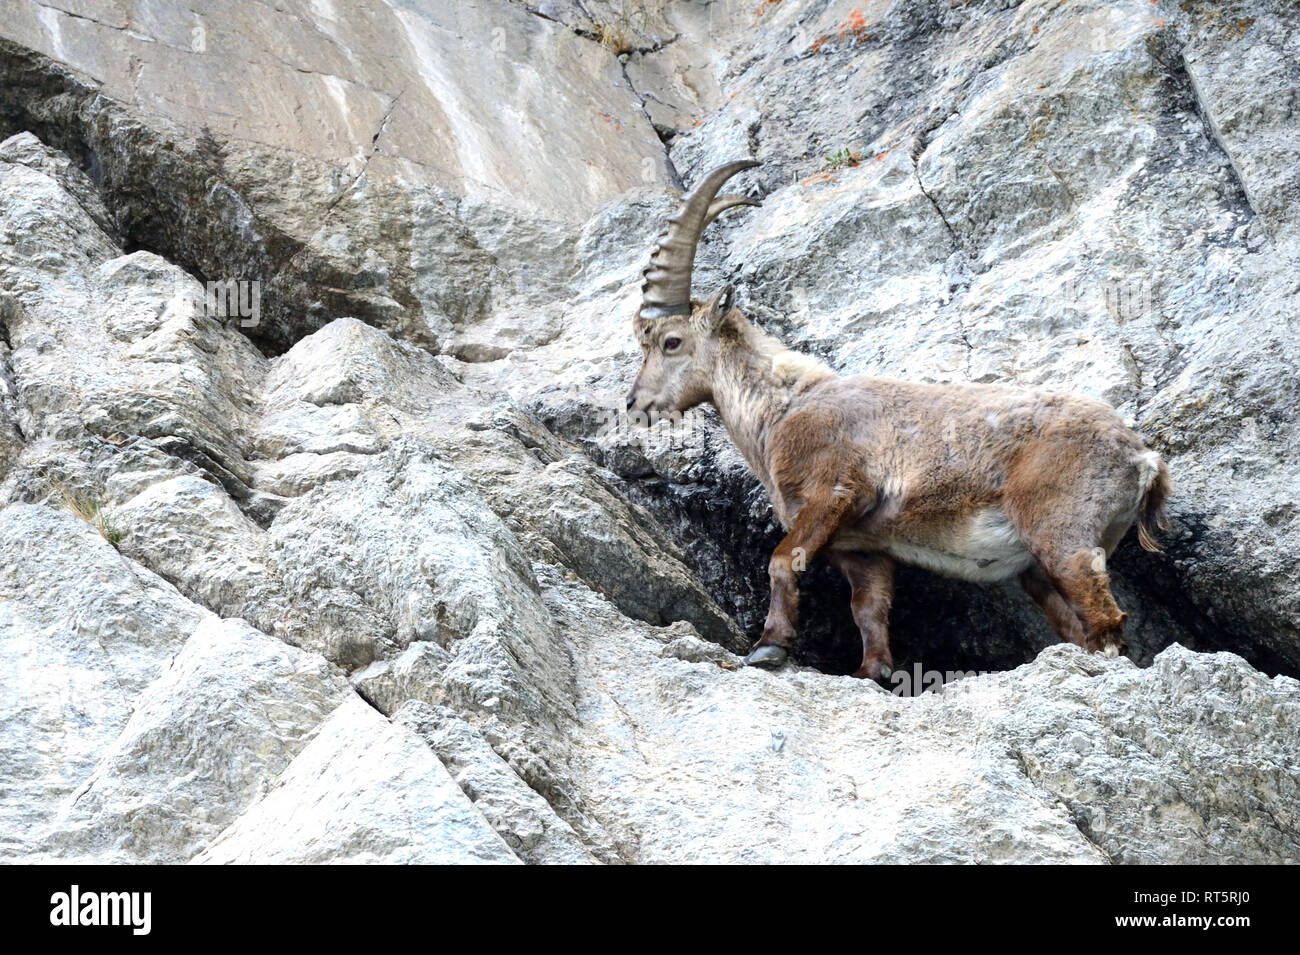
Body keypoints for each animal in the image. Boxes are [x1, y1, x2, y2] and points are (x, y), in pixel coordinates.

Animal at [626, 160, 1171, 682]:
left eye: (670, 341)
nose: (634, 404)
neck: (781, 408)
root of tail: (1143, 458)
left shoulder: (834, 492)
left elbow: (782, 560)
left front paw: (769, 647)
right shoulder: (861, 547)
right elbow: (869, 606)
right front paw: (873, 672)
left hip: (1061, 533)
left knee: (1106, 621)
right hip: (1044, 564)